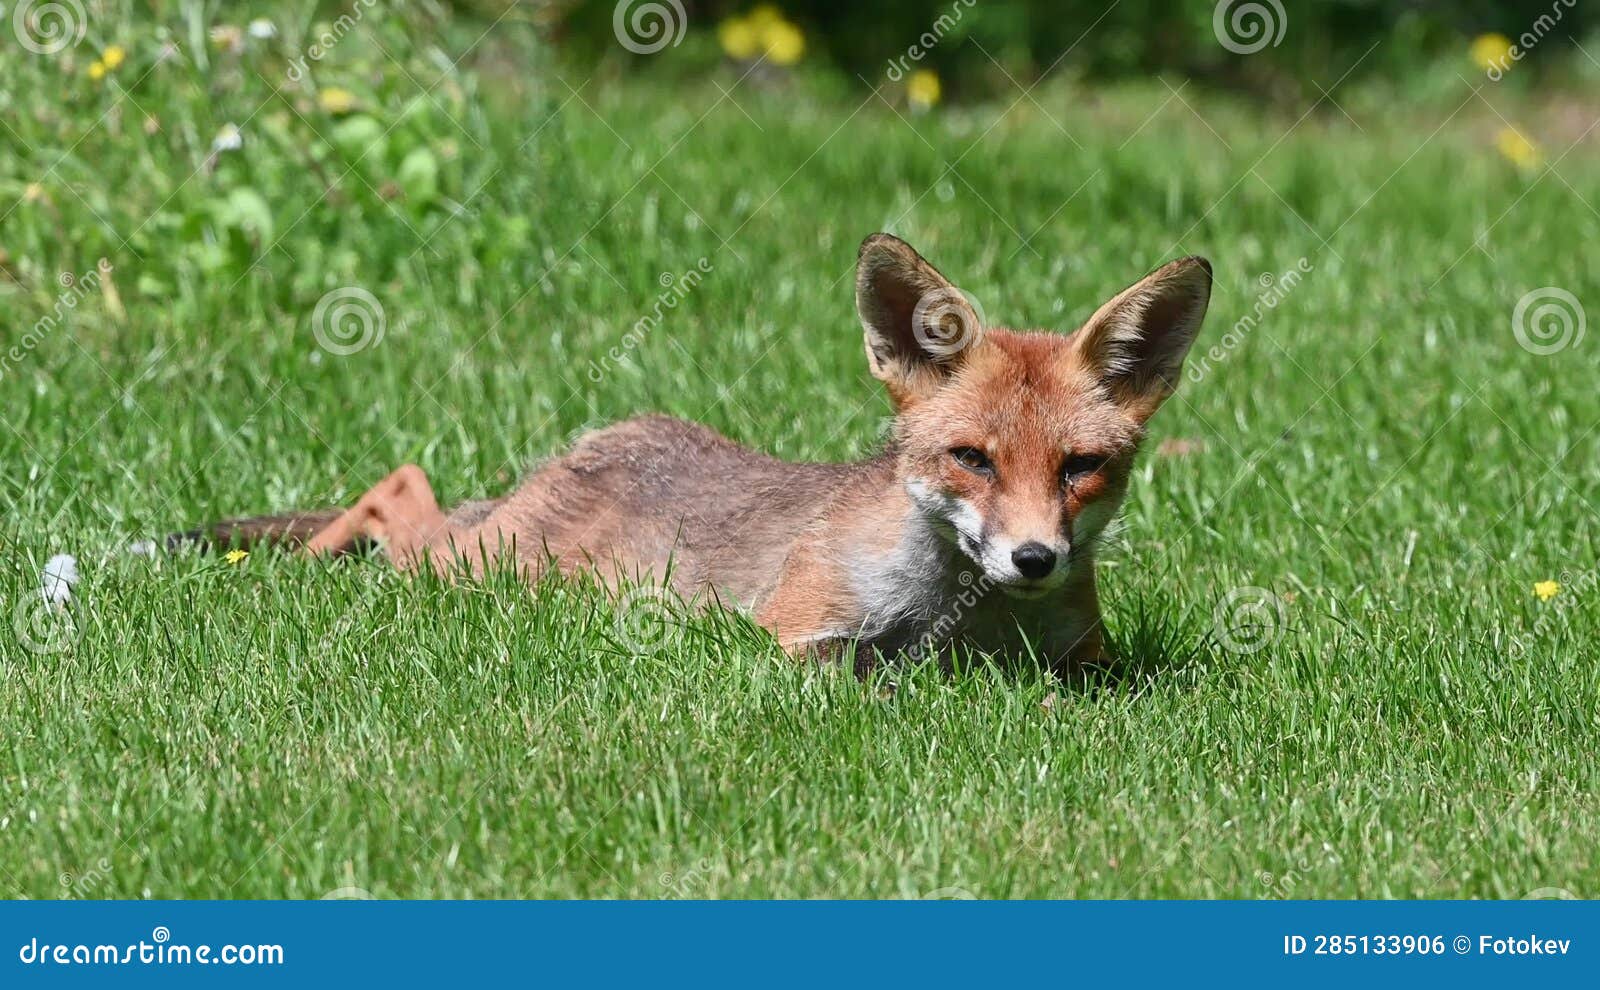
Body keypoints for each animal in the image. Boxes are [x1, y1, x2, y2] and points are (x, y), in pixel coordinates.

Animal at [178, 234, 1213, 674]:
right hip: (474, 568)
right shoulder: (796, 637)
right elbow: (866, 672)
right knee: (399, 495)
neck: (966, 622)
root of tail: (592, 444)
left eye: (1080, 468)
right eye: (974, 459)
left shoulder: (1087, 660)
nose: (1034, 559)